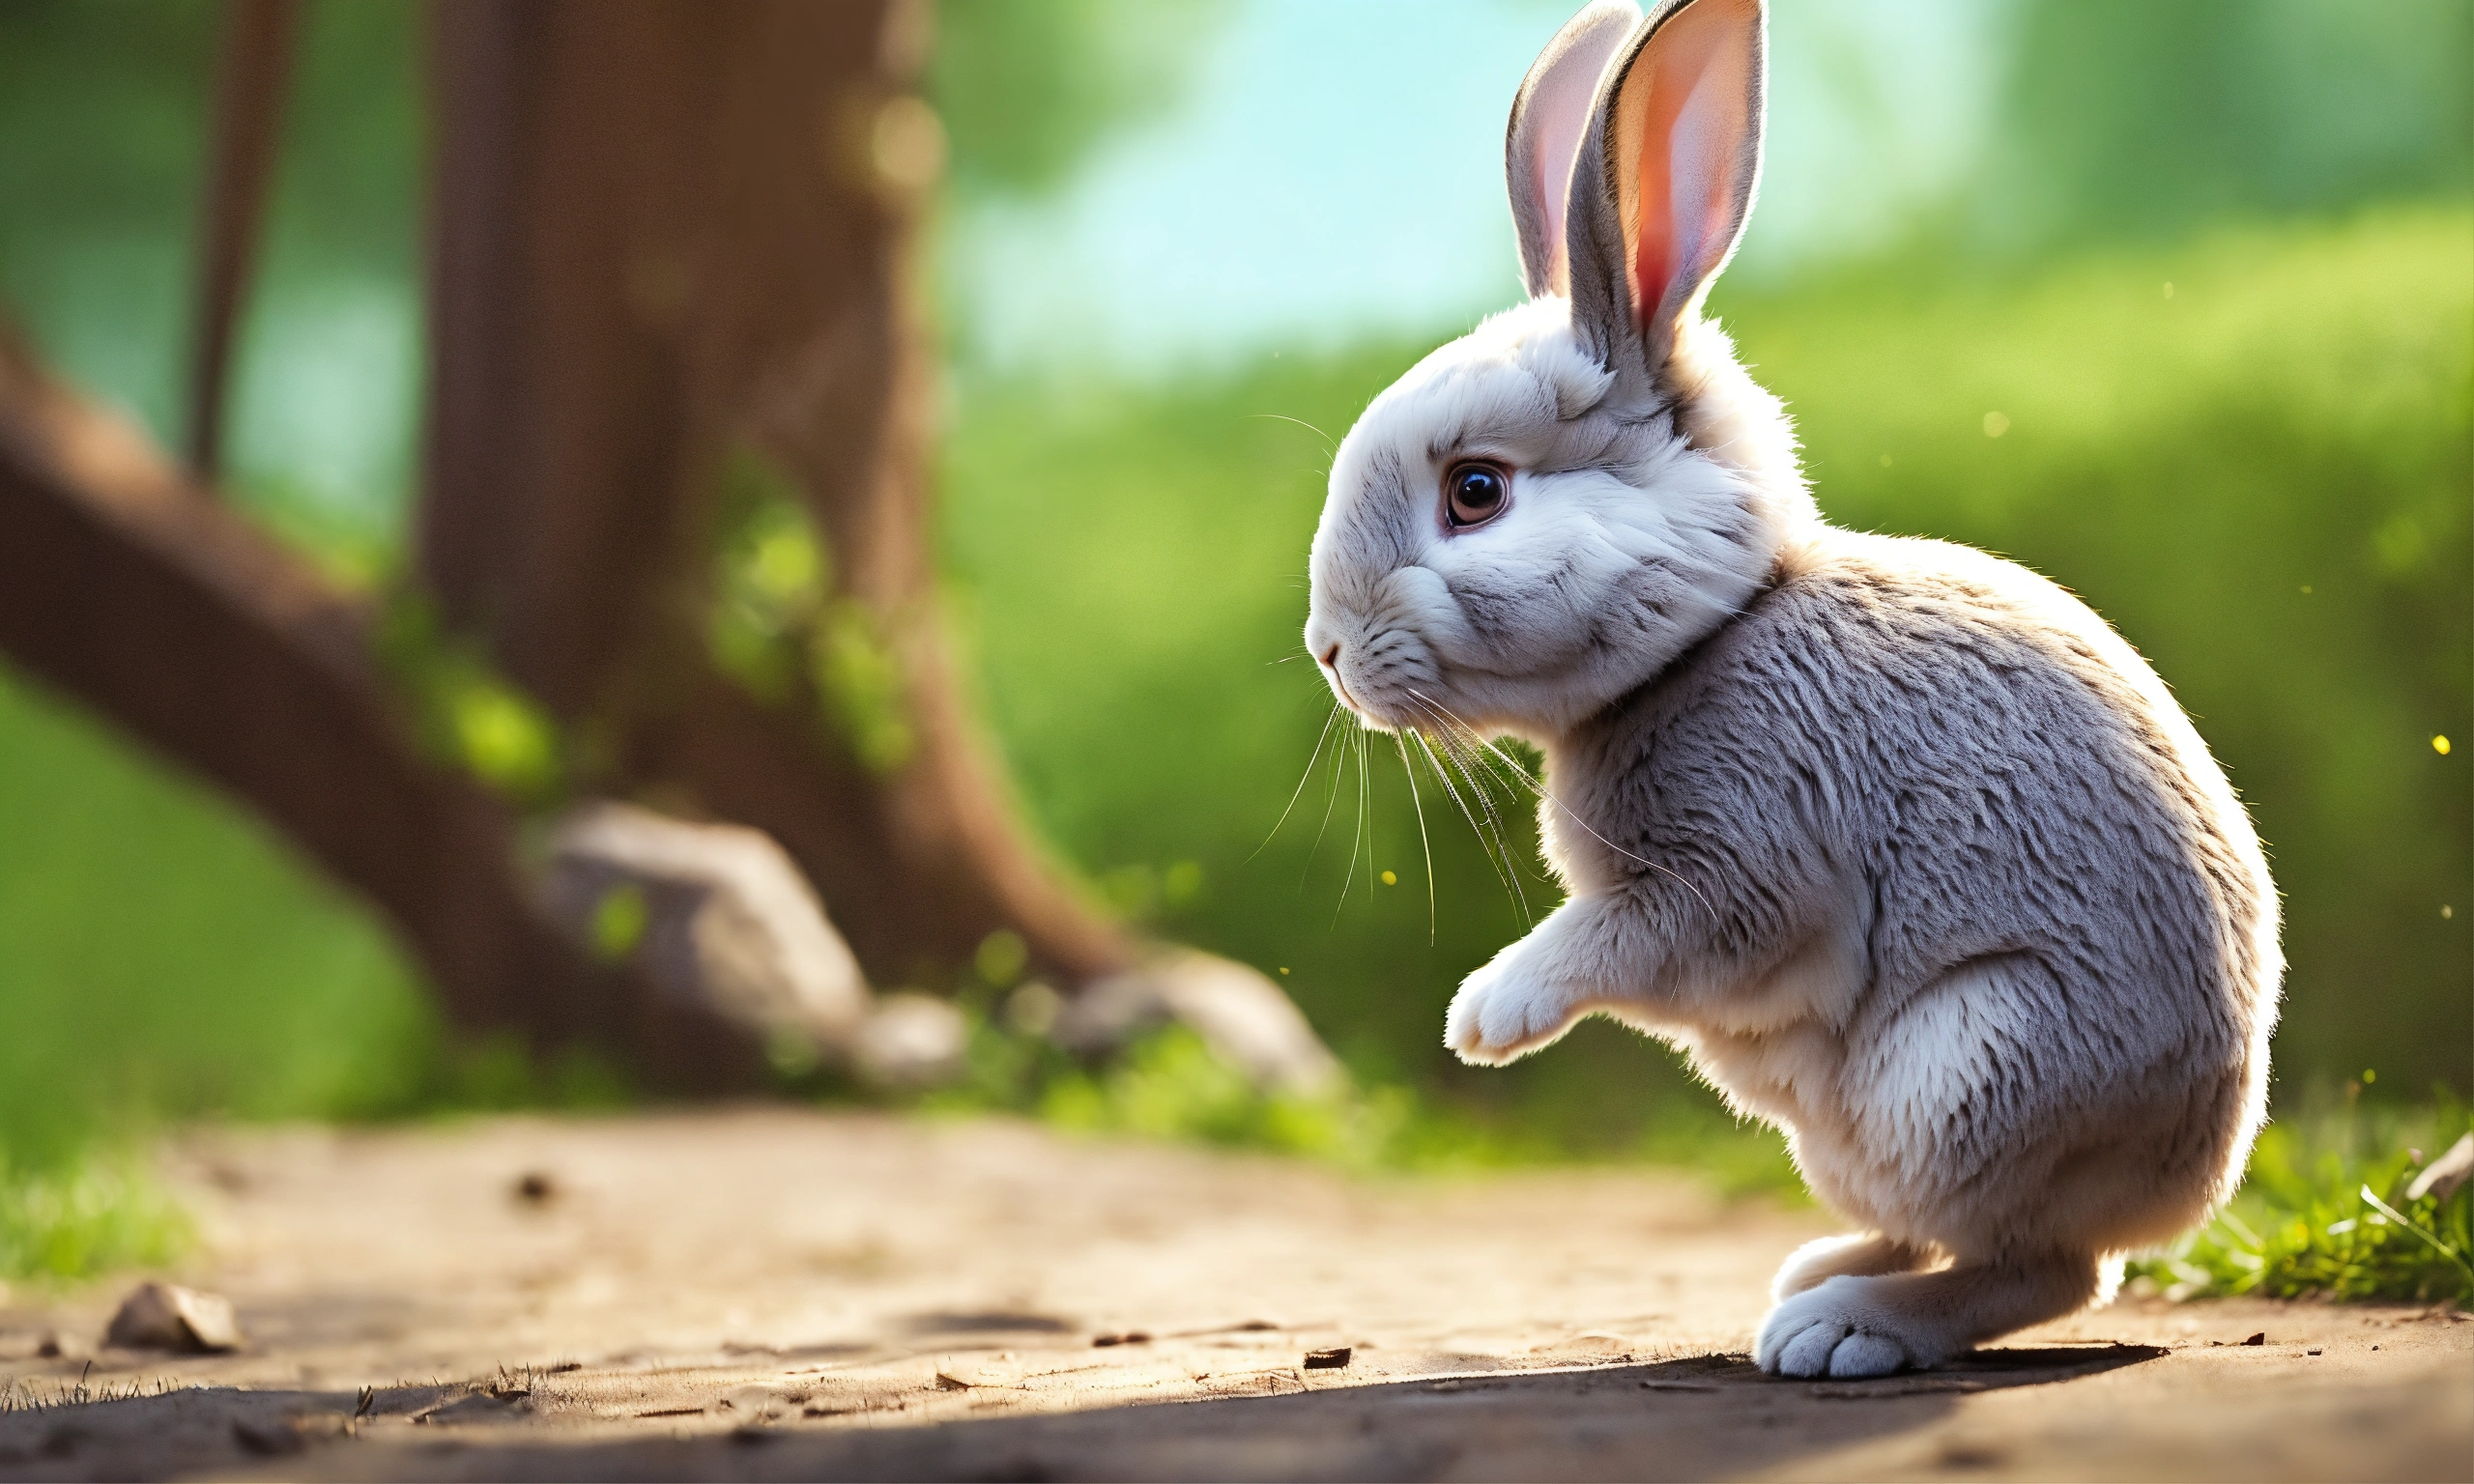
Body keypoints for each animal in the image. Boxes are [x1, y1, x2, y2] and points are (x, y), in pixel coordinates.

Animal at [1301, 0, 2280, 1379]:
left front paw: (1485, 1017)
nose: (1326, 650)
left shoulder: (1750, 869)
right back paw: (1819, 1272)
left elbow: (1618, 938)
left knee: (2046, 1270)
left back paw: (1840, 1330)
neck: (1704, 636)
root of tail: (2189, 1185)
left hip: (1965, 1067)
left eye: (1476, 491)